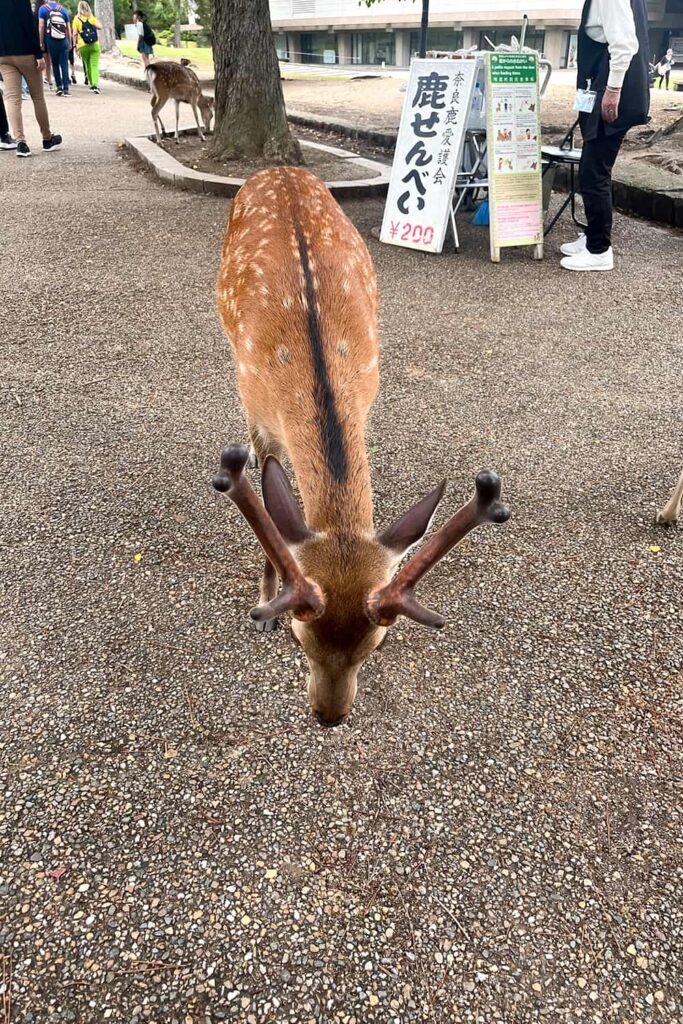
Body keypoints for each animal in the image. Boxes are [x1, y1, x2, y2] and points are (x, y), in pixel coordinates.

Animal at [212, 167, 510, 726]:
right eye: (299, 637)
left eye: (376, 644)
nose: (330, 717)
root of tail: (280, 168)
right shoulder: (255, 404)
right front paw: (262, 605)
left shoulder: (368, 396)